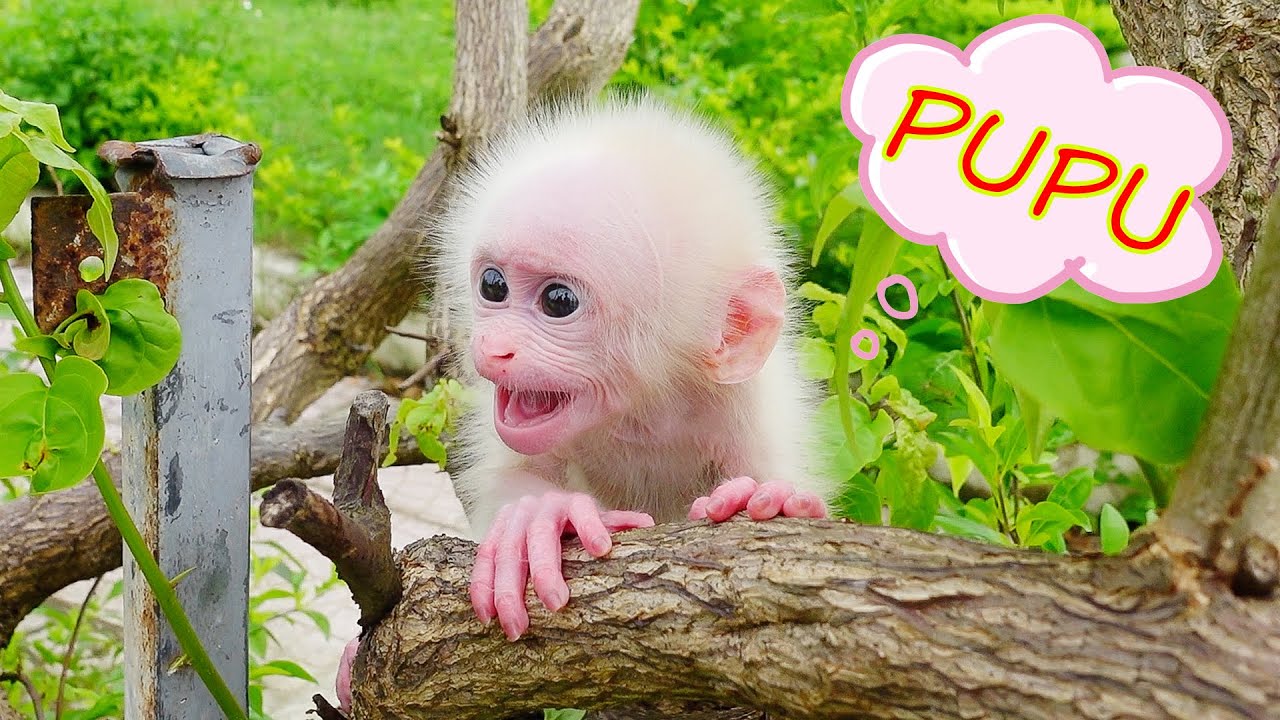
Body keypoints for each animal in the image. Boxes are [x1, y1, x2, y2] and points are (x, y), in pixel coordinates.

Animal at [335, 94, 834, 711]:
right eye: (494, 286)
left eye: (559, 301)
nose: (494, 348)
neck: (645, 410)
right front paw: (538, 518)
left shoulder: (750, 409)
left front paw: (772, 500)